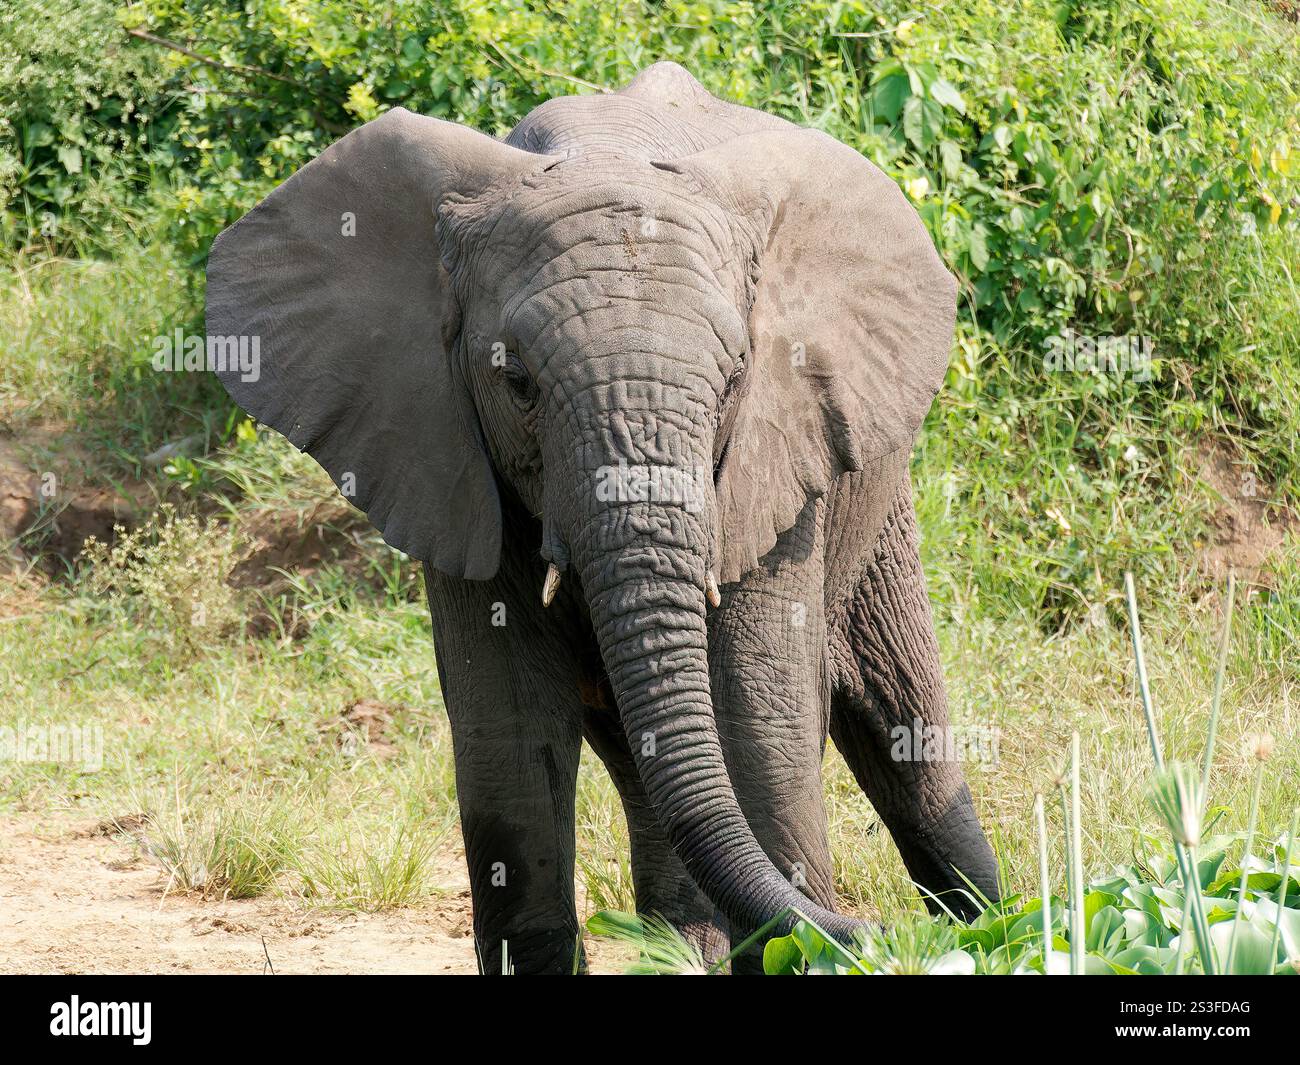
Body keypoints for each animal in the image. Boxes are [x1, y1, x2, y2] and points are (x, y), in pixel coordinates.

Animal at [206, 62, 1000, 974]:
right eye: (515, 380)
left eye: (736, 376)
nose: (877, 932)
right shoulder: (446, 450)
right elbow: (508, 728)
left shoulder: (776, 457)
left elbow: (757, 711)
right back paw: (684, 946)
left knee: (898, 721)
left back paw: (1000, 919)